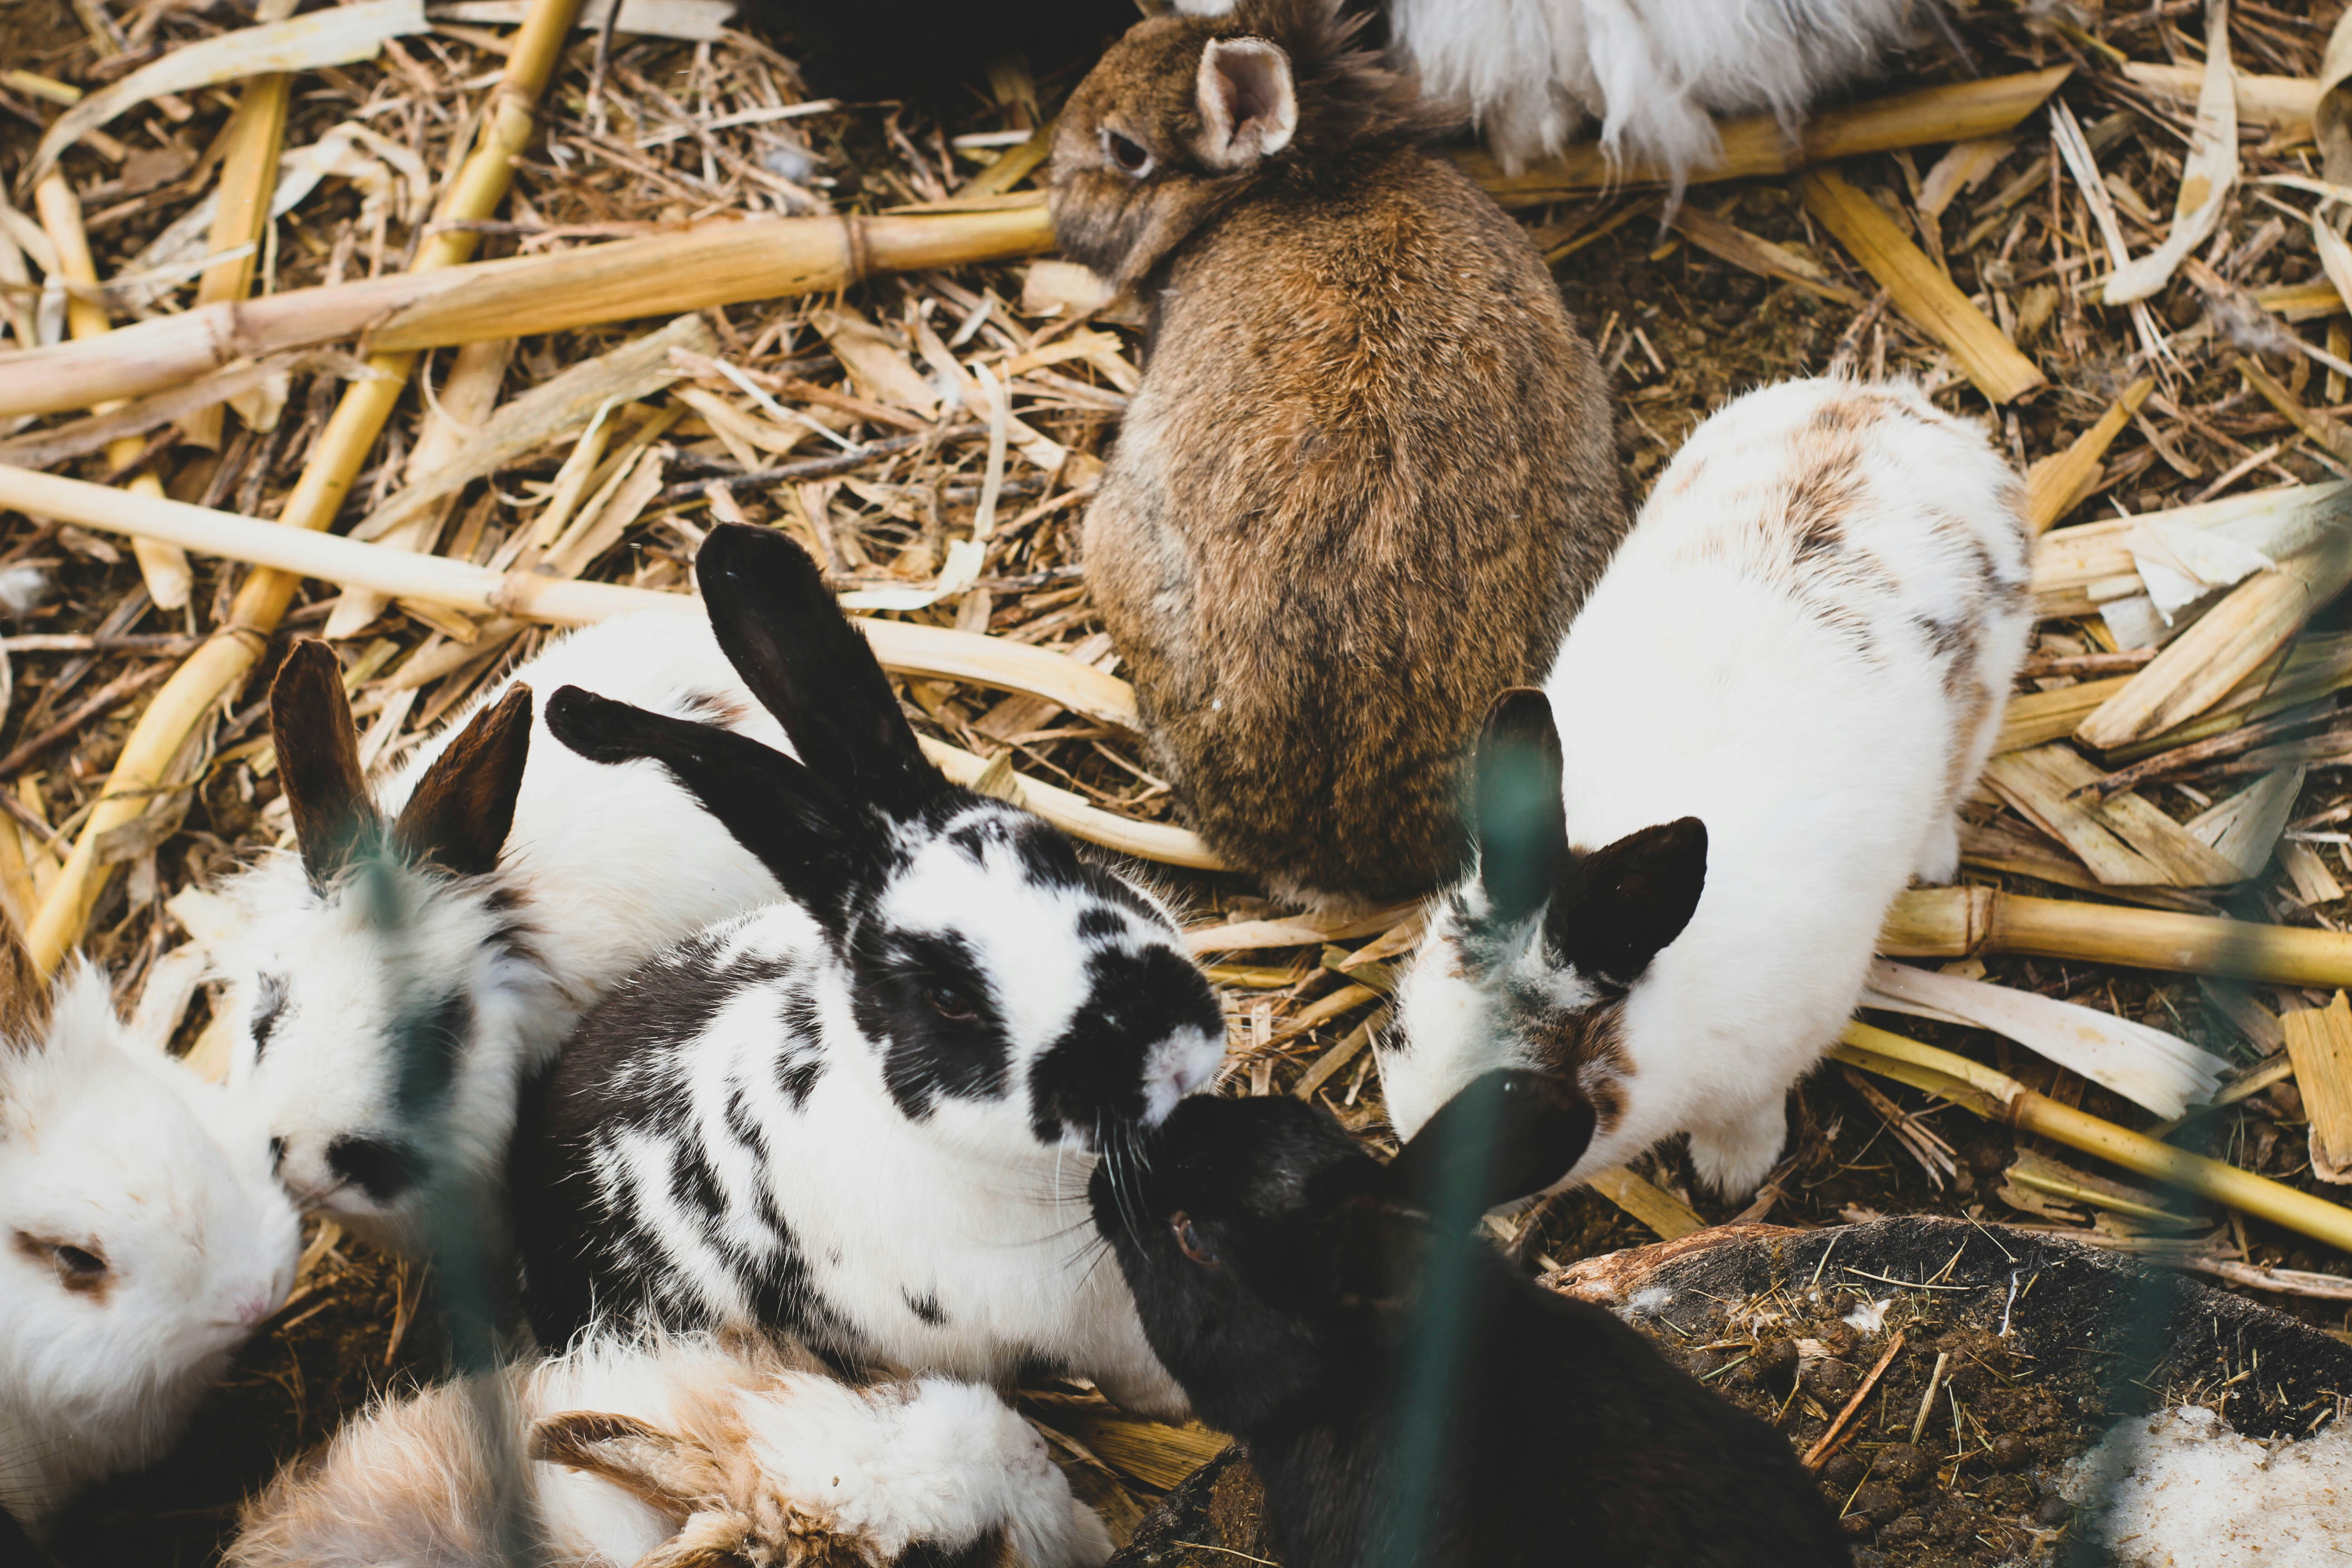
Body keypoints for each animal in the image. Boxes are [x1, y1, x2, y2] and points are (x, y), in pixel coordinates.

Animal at [1385, 377, 2032, 1198]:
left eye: (1516, 1113)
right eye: (1401, 1030)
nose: (1419, 1178)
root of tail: (1906, 412)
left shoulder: (1763, 1073)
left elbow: (1747, 1125)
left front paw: (1730, 1180)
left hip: (1986, 702)